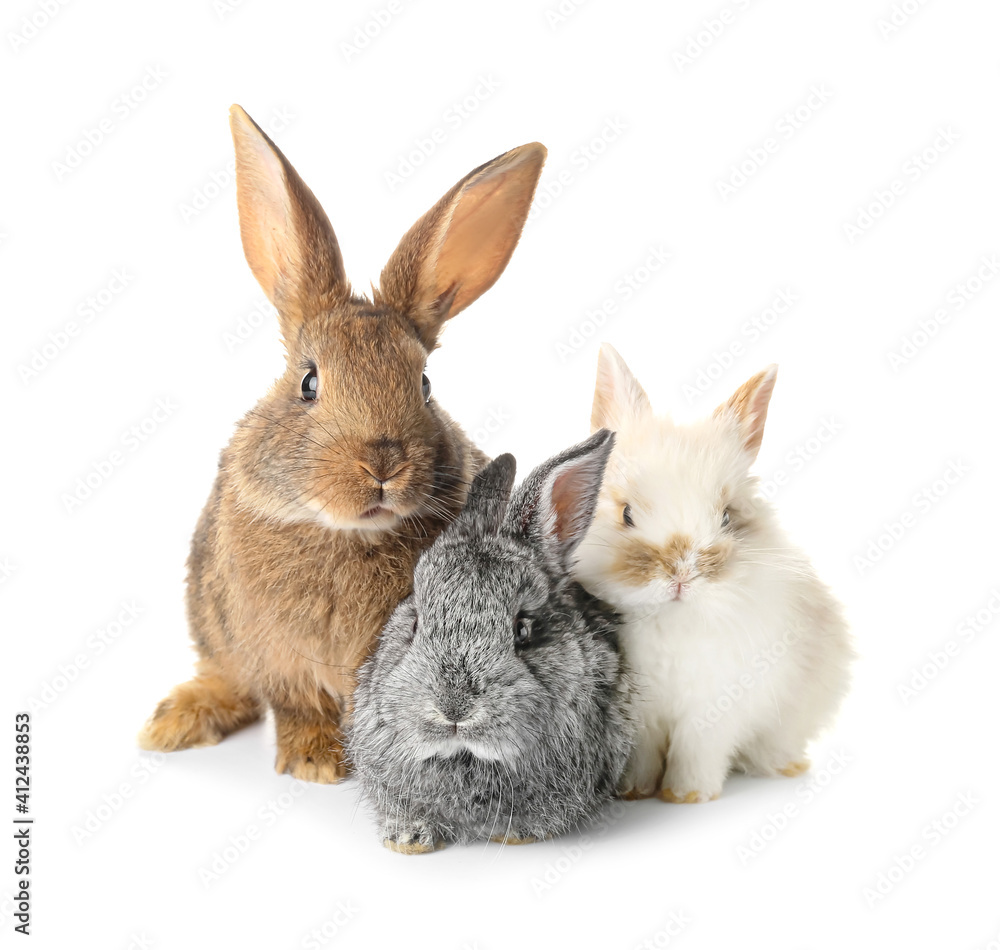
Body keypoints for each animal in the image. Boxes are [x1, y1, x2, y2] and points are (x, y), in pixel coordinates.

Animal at [137, 105, 546, 784]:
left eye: (425, 384)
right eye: (309, 382)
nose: (382, 462)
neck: (347, 534)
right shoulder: (277, 655)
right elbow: (297, 705)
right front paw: (315, 763)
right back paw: (175, 722)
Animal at [572, 344, 853, 804]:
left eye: (726, 517)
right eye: (627, 514)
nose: (681, 573)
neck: (669, 620)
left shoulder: (716, 709)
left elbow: (697, 749)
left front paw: (687, 795)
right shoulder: (640, 717)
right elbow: (644, 754)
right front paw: (635, 791)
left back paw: (788, 766)